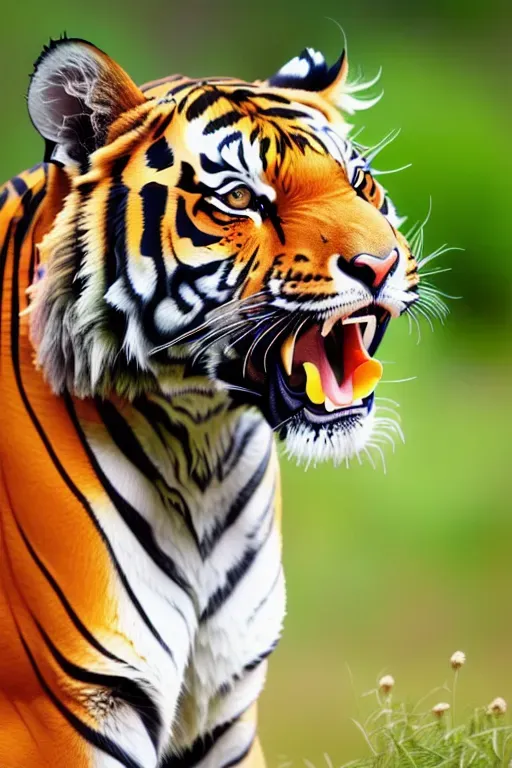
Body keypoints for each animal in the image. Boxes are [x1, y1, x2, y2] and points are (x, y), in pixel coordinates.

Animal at [0, 36, 420, 768]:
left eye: (358, 181)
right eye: (240, 198)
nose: (382, 264)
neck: (203, 451)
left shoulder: (221, 705)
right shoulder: (68, 711)